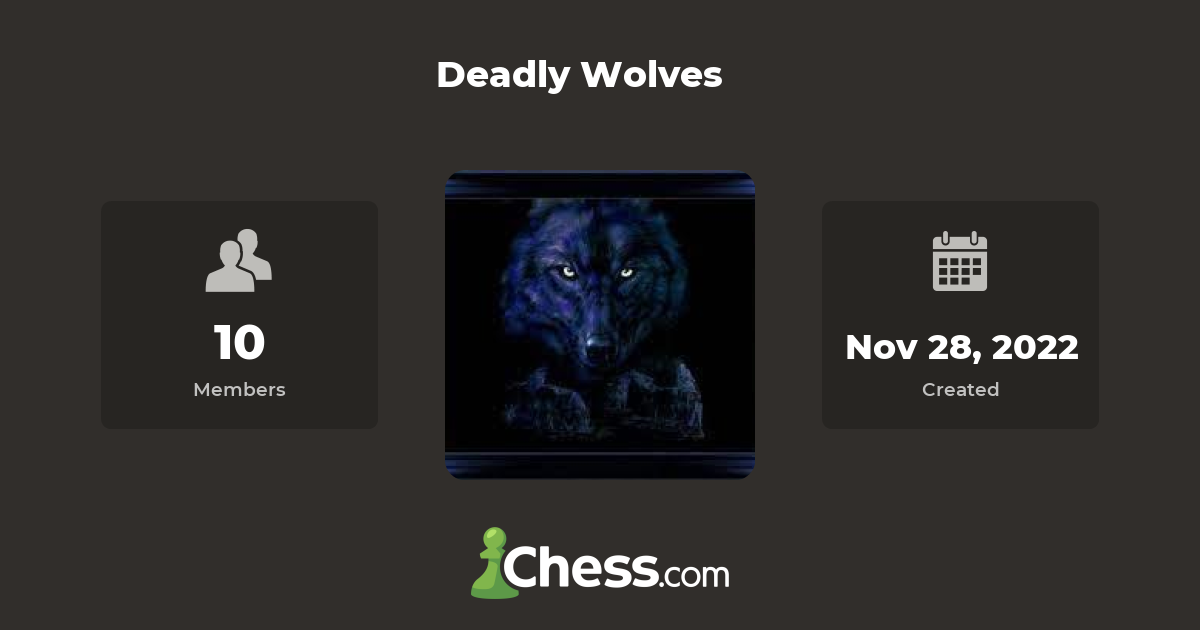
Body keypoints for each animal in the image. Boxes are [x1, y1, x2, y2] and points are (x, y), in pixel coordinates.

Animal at [500, 199, 703, 440]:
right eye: (567, 271)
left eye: (627, 272)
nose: (600, 349)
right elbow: (527, 388)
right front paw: (558, 408)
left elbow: (661, 380)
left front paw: (670, 402)